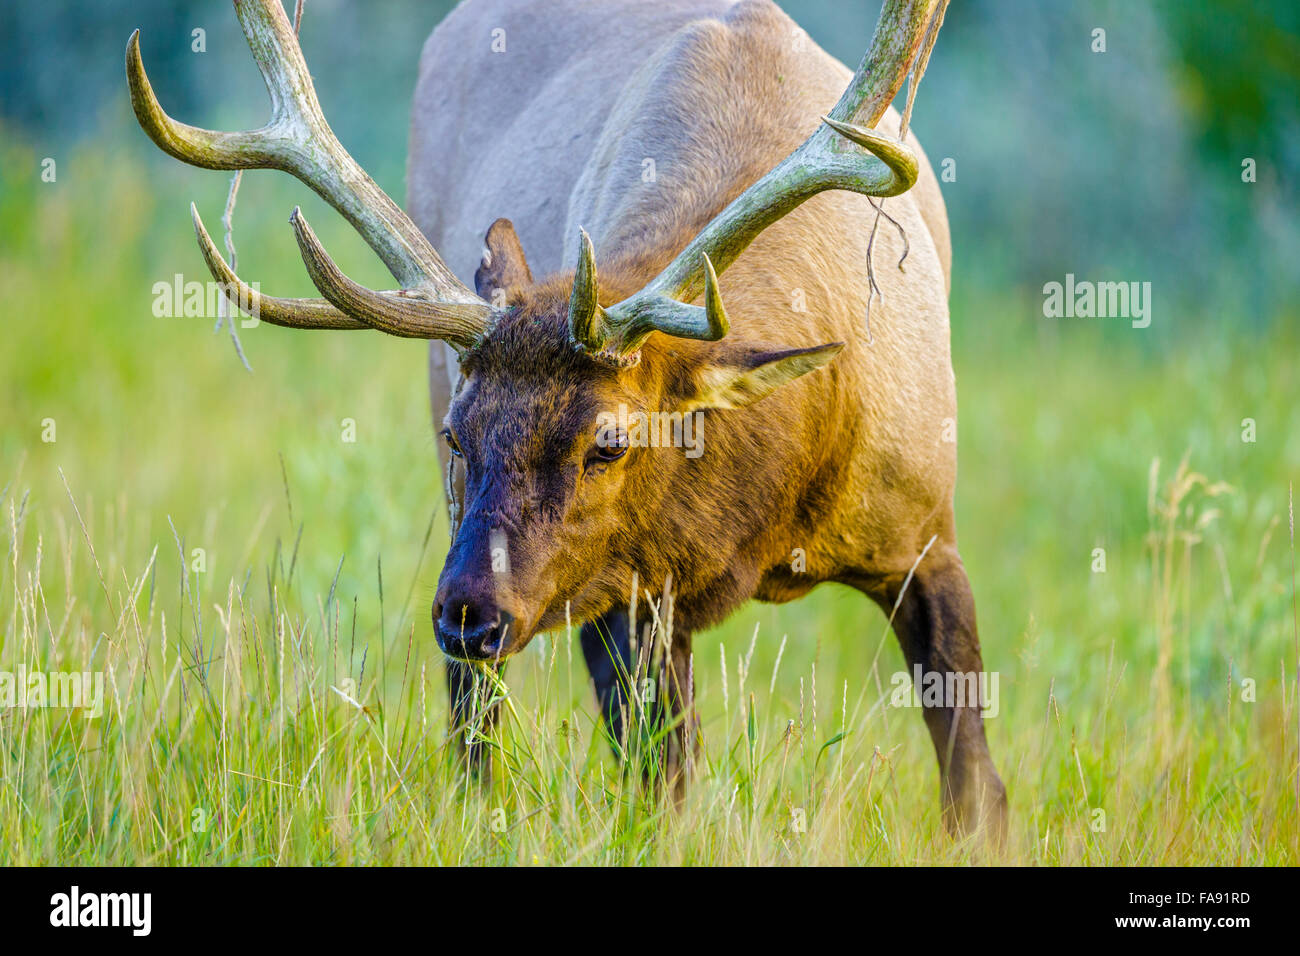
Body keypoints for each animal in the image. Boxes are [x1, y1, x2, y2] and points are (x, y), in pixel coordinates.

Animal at [126, 0, 1007, 840]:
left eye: (609, 442)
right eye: (460, 433)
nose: (468, 614)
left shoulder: (927, 533)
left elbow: (976, 788)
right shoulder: (628, 591)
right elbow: (665, 787)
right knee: (475, 721)